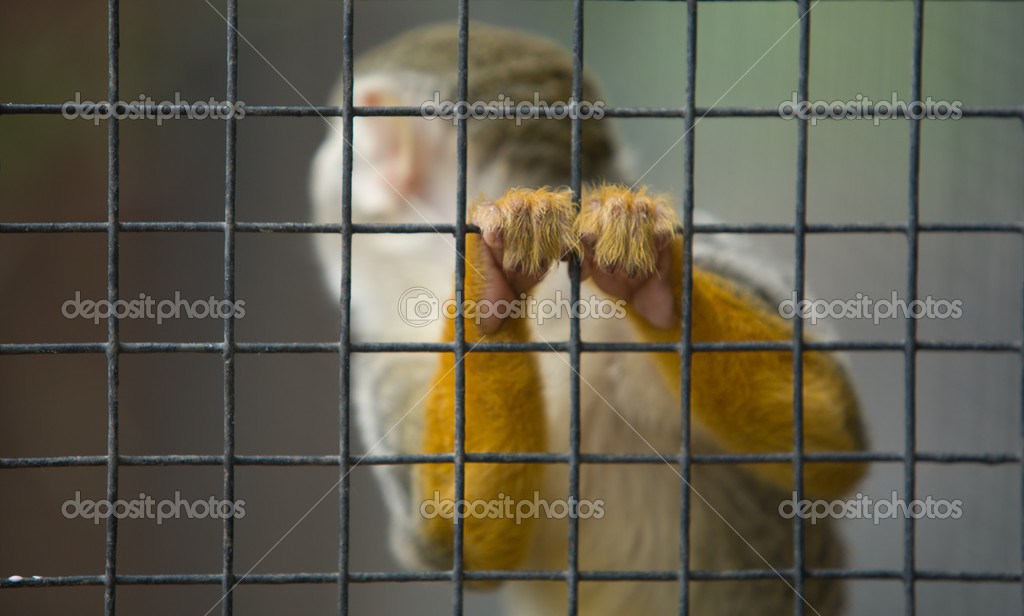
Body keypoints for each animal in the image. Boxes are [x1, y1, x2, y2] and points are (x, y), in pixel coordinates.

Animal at [310, 22, 866, 616]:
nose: (318, 168)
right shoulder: (390, 361)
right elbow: (460, 540)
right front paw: (487, 286)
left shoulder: (706, 241)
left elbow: (828, 441)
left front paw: (653, 282)